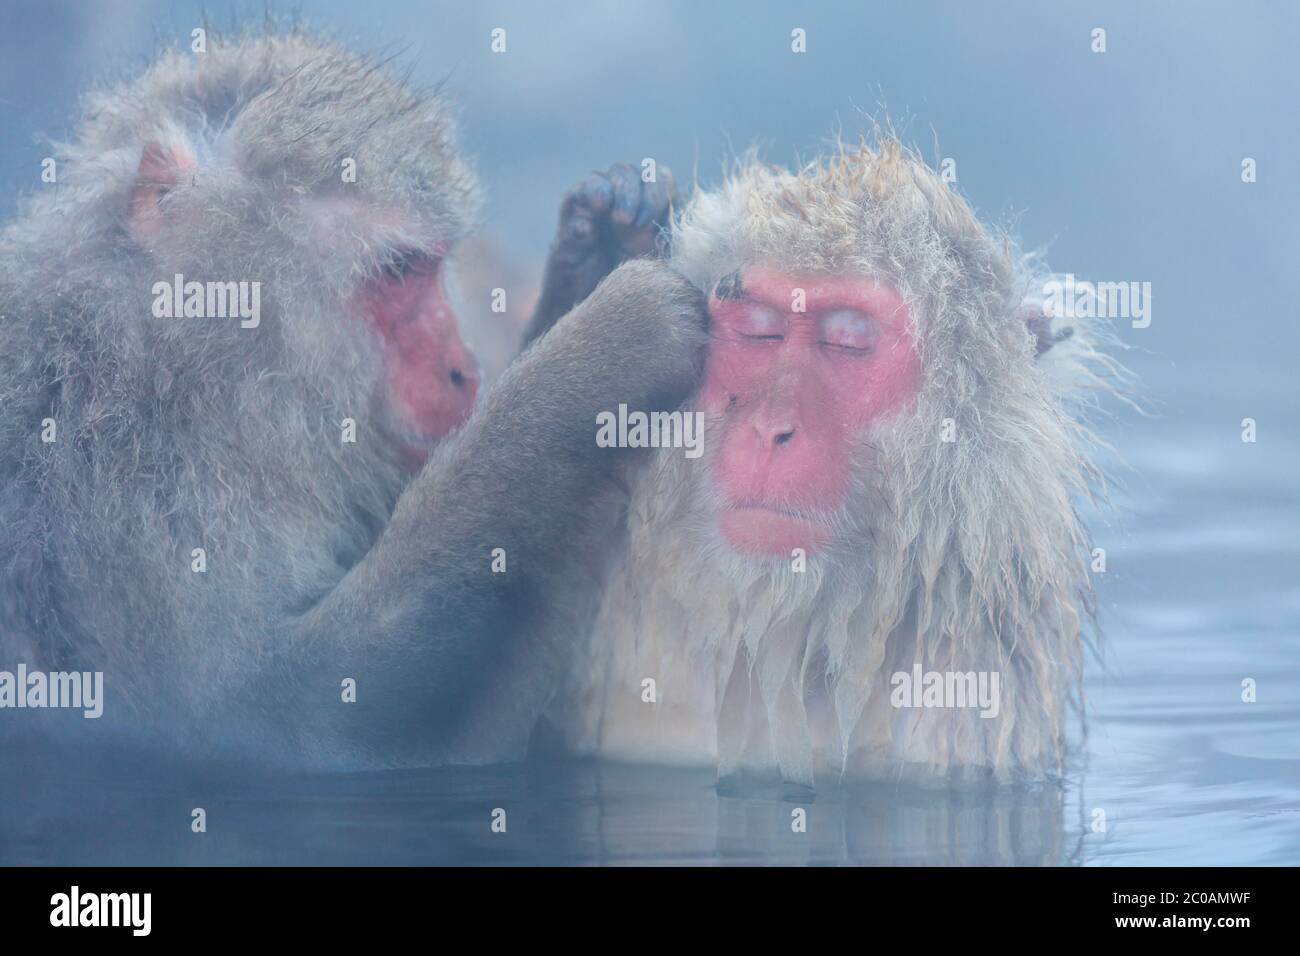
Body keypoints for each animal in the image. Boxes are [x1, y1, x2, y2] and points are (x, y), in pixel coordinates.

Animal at [0, 32, 708, 770]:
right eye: (398, 271)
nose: (464, 369)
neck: (183, 379)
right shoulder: (122, 501)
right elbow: (283, 714)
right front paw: (604, 349)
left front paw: (603, 242)